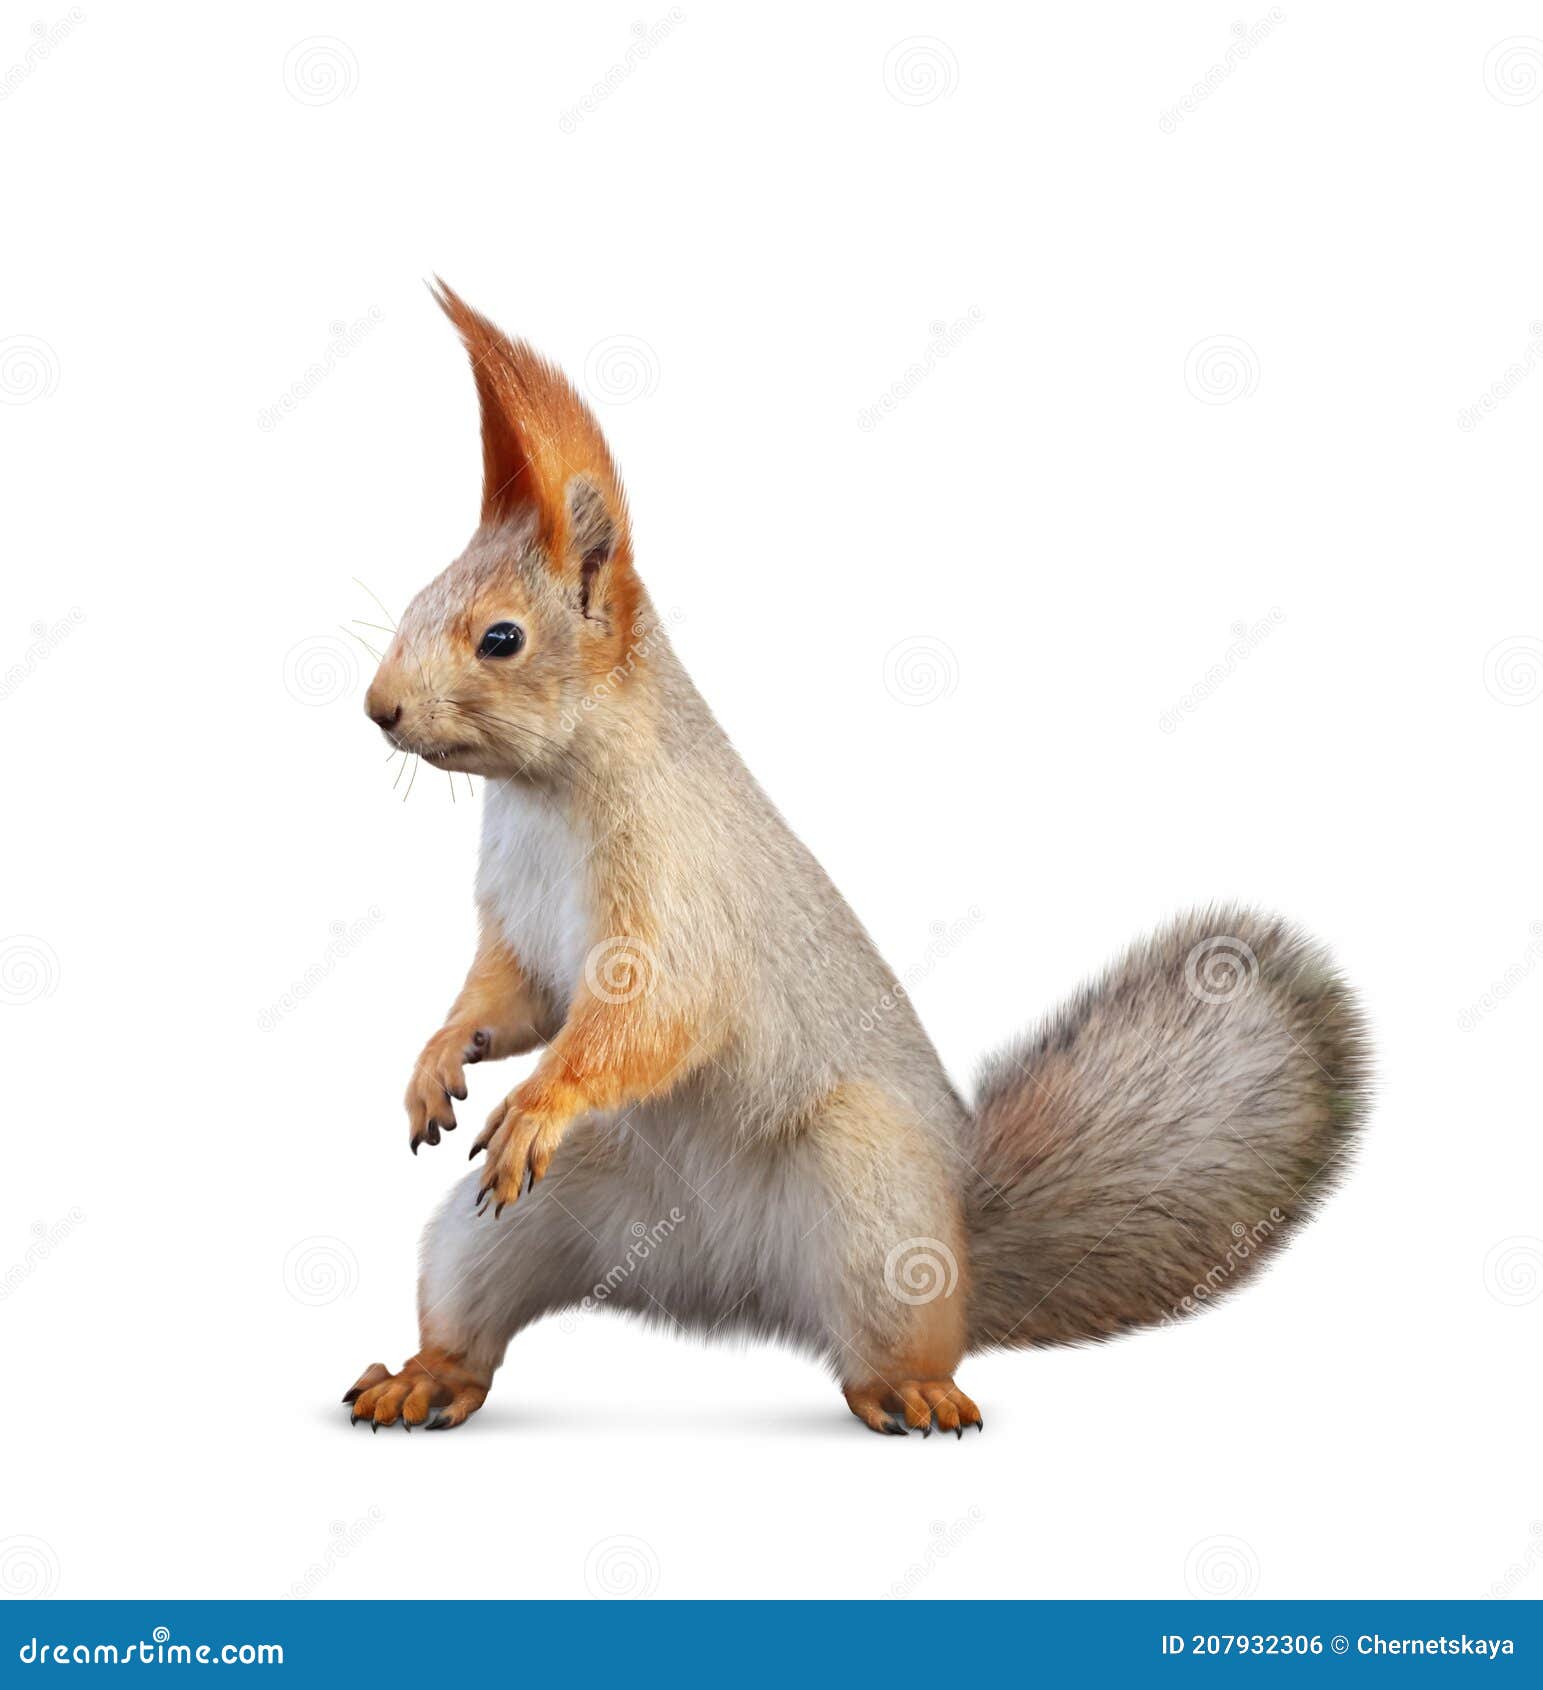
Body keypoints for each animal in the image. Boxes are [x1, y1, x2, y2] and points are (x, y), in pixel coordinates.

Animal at [344, 281, 1369, 1436]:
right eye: (420, 597)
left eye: (502, 638)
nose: (378, 709)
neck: (544, 795)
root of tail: (715, 1284)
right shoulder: (515, 927)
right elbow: (505, 999)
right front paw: (438, 1059)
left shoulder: (679, 898)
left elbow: (650, 1015)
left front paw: (540, 1099)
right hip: (517, 1224)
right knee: (472, 1301)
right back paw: (427, 1374)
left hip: (868, 1197)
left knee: (900, 1338)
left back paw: (913, 1389)